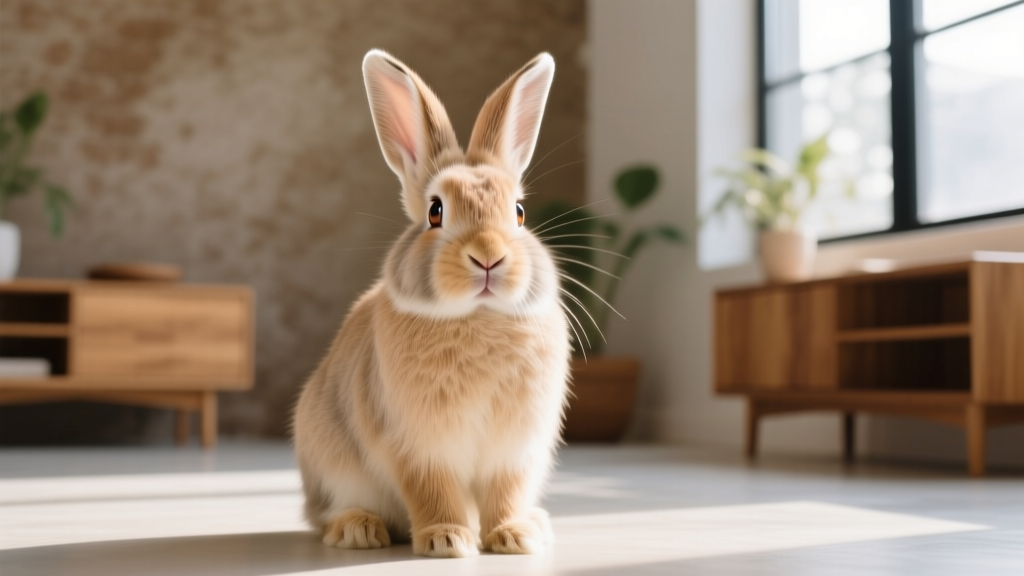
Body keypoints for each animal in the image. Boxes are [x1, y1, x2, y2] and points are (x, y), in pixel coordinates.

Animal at [291, 49, 570, 559]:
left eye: (519, 212)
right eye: (435, 211)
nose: (488, 256)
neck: (478, 317)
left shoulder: (514, 451)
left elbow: (506, 493)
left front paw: (514, 537)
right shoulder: (417, 447)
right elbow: (432, 490)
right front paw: (447, 540)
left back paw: (536, 523)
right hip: (330, 461)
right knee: (326, 514)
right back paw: (358, 530)